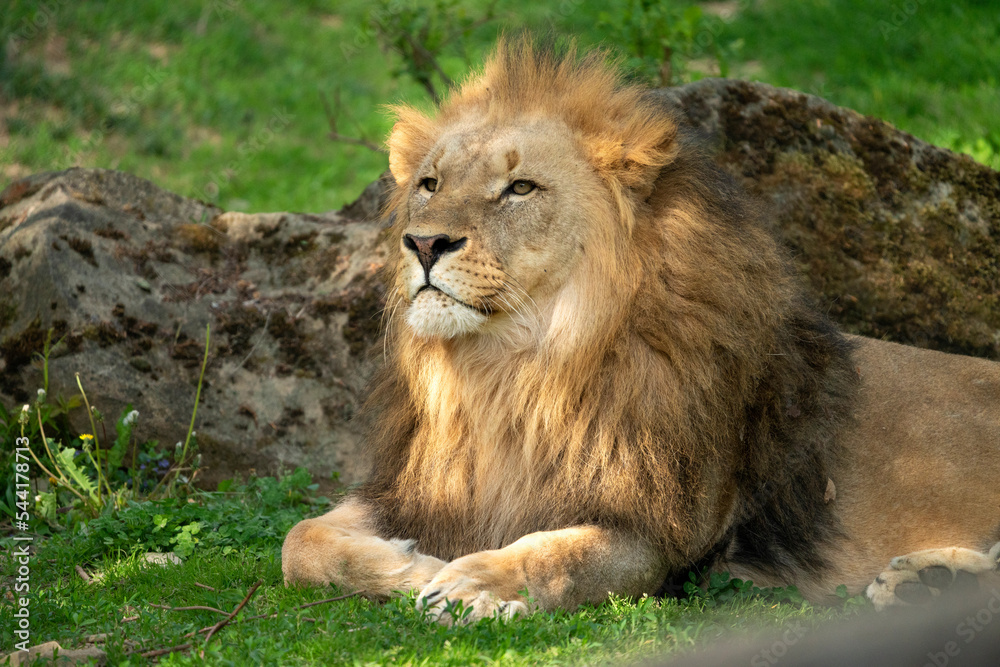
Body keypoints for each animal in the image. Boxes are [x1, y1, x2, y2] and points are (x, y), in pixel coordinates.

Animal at [282, 40, 1000, 621]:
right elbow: (300, 541)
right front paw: (412, 564)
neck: (510, 370)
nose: (424, 243)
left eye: (521, 188)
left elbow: (556, 553)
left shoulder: (658, 529)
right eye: (430, 183)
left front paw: (474, 583)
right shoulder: (421, 489)